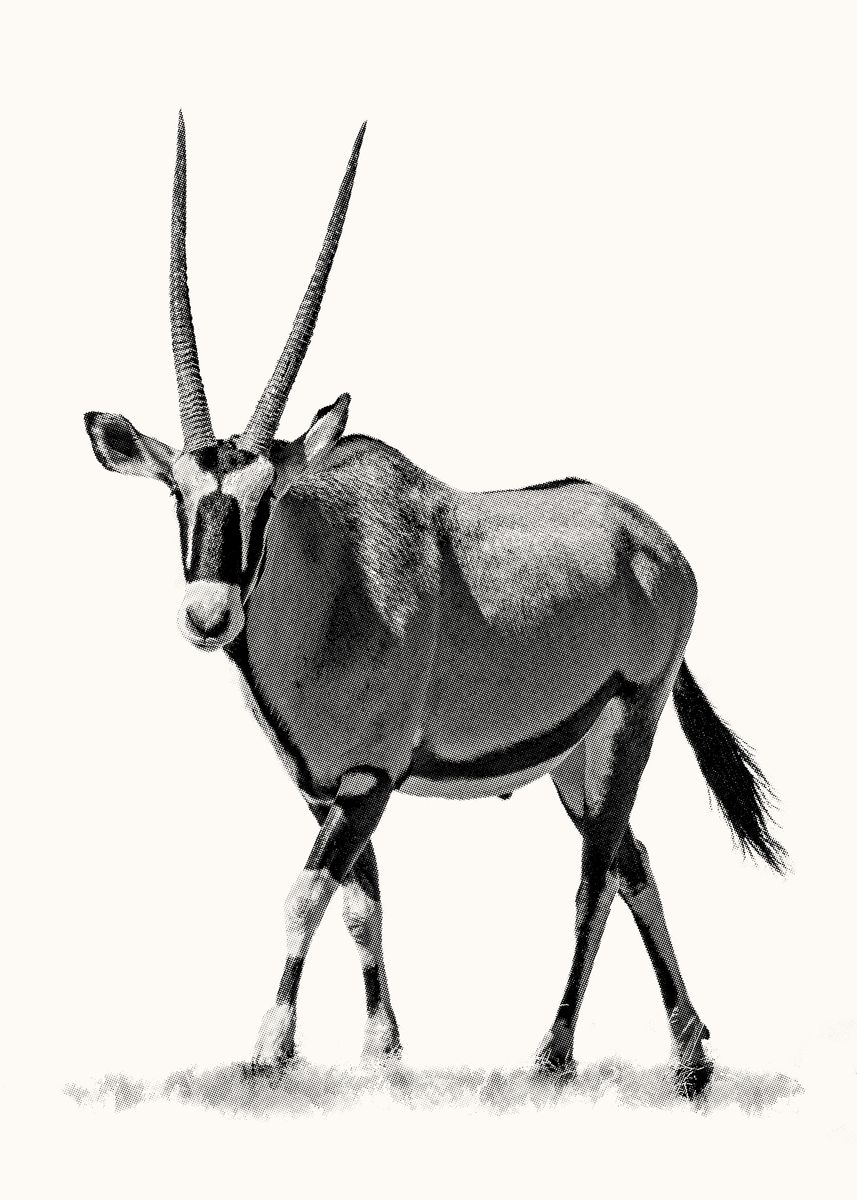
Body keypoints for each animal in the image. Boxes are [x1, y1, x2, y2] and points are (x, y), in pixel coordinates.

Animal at [84, 115, 785, 1098]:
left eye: (266, 497)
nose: (208, 615)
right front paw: (379, 1049)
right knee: (636, 864)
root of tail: (656, 543)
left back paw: (554, 1053)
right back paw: (688, 1057)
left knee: (596, 877)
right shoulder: (323, 787)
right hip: (575, 756)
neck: (330, 580)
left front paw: (267, 1048)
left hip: (630, 725)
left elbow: (305, 894)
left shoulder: (368, 779)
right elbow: (360, 905)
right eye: (180, 493)